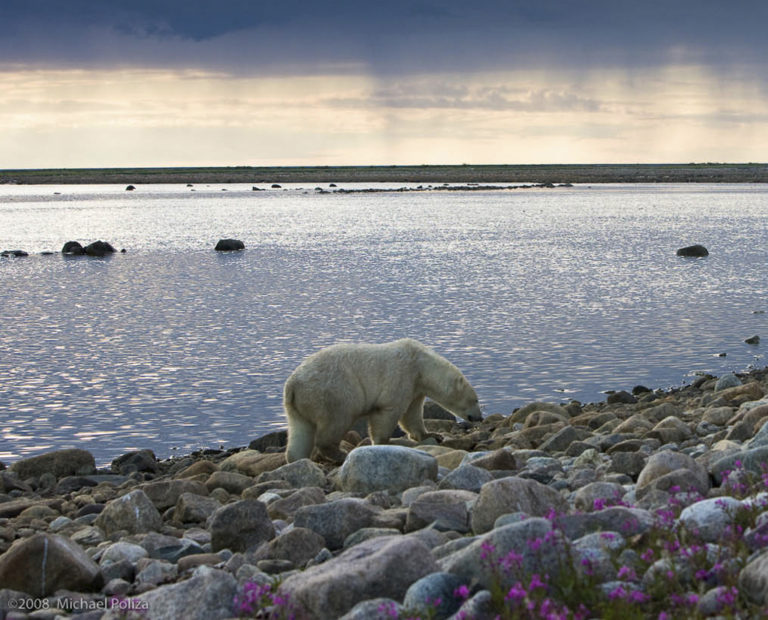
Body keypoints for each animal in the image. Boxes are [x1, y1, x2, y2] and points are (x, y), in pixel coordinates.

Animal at [283, 338, 483, 464]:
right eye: (475, 400)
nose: (480, 418)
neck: (420, 363)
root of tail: (293, 384)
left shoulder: (414, 387)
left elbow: (412, 414)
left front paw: (431, 434)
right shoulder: (401, 375)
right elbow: (389, 411)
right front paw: (385, 442)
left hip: (298, 405)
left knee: (300, 431)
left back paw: (297, 459)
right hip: (333, 393)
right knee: (336, 422)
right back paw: (340, 453)